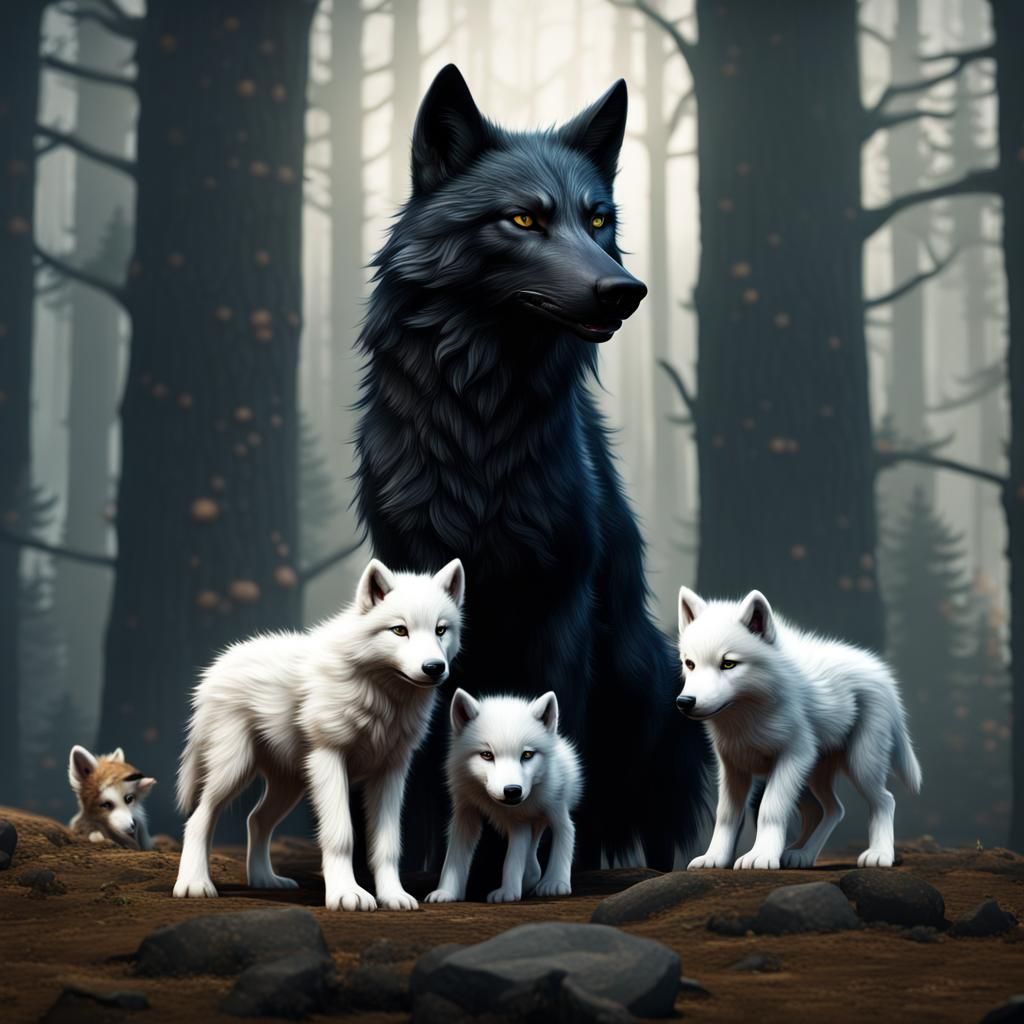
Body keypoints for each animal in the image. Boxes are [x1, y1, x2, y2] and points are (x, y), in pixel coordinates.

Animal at [173, 557, 464, 910]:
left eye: (440, 630)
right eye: (399, 630)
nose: (434, 668)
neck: (383, 698)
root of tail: (215, 667)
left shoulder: (392, 770)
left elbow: (388, 845)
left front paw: (393, 896)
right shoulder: (329, 757)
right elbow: (341, 836)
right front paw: (347, 894)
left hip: (291, 784)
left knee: (256, 819)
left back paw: (265, 880)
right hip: (235, 770)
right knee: (199, 818)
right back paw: (193, 884)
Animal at [354, 63, 709, 871]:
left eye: (599, 219)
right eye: (522, 220)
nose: (626, 291)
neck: (482, 425)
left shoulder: (560, 604)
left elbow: (551, 738)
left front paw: (537, 865)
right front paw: (425, 868)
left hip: (649, 678)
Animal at [426, 690, 582, 904]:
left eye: (527, 755)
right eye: (486, 755)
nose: (512, 790)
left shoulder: (528, 818)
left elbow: (516, 858)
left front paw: (510, 892)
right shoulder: (466, 812)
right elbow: (454, 856)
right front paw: (446, 892)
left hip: (553, 808)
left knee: (562, 833)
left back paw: (551, 882)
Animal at [676, 587, 922, 871]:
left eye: (728, 664)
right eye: (690, 664)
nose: (684, 702)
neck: (746, 717)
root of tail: (882, 674)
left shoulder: (795, 754)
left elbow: (769, 810)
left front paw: (761, 857)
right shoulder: (732, 767)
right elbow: (726, 816)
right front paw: (715, 858)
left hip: (860, 764)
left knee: (883, 801)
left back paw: (878, 854)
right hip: (811, 777)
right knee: (829, 810)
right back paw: (799, 854)